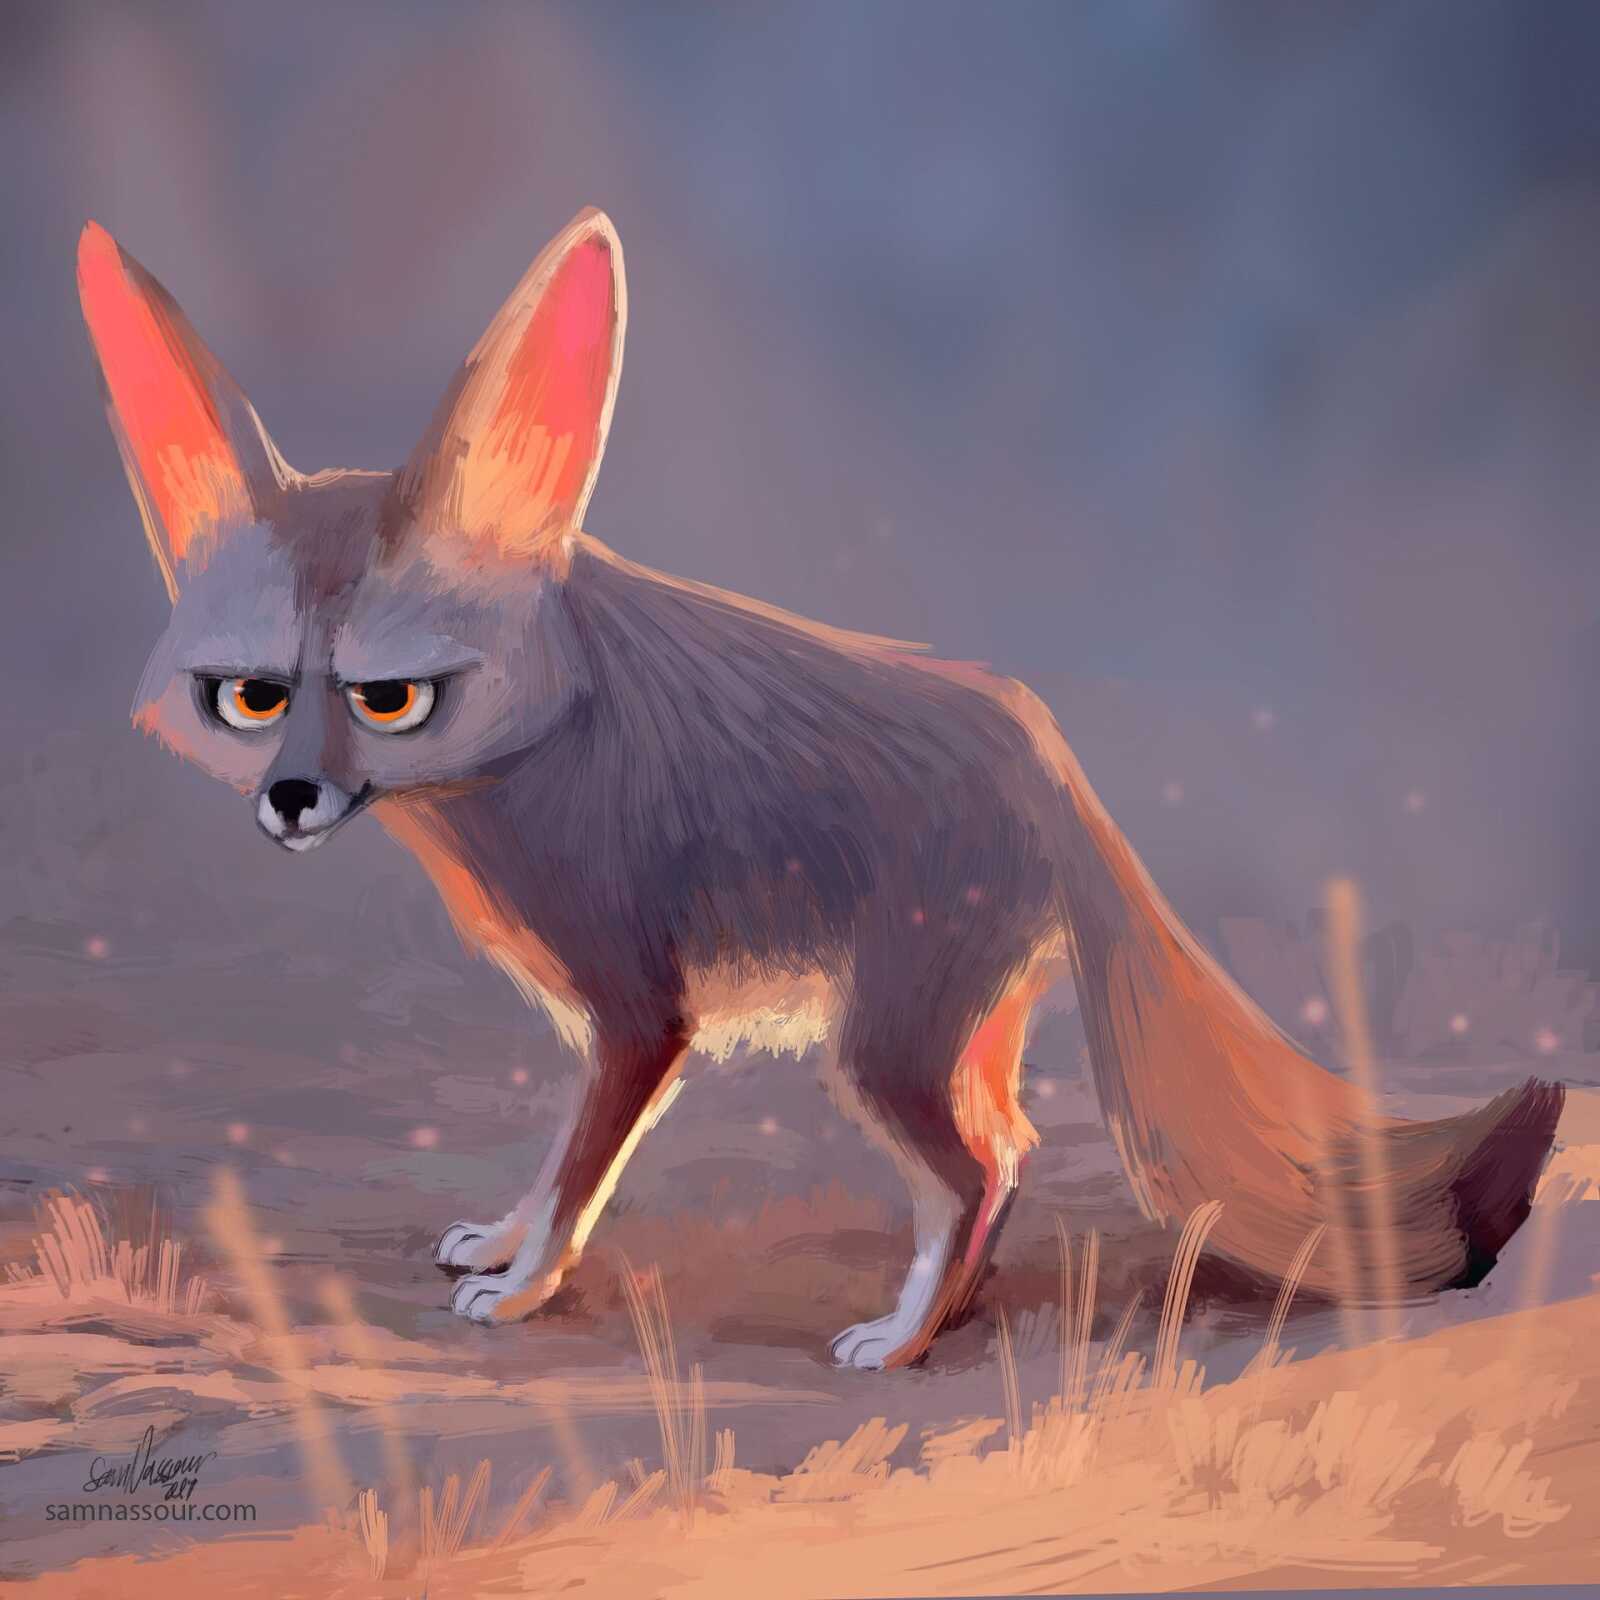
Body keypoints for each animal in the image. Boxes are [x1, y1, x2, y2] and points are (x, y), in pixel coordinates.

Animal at [77, 208, 1564, 1370]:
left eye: (388, 700)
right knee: (1010, 1146)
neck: (551, 717)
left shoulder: (643, 1018)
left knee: (982, 1167)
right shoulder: (603, 1029)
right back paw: (949, 1310)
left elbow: (582, 1177)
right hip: (954, 1035)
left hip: (880, 1049)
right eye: (252, 699)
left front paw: (526, 1284)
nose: (291, 799)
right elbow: (555, 1159)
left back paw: (902, 1340)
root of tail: (1046, 744)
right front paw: (497, 1242)